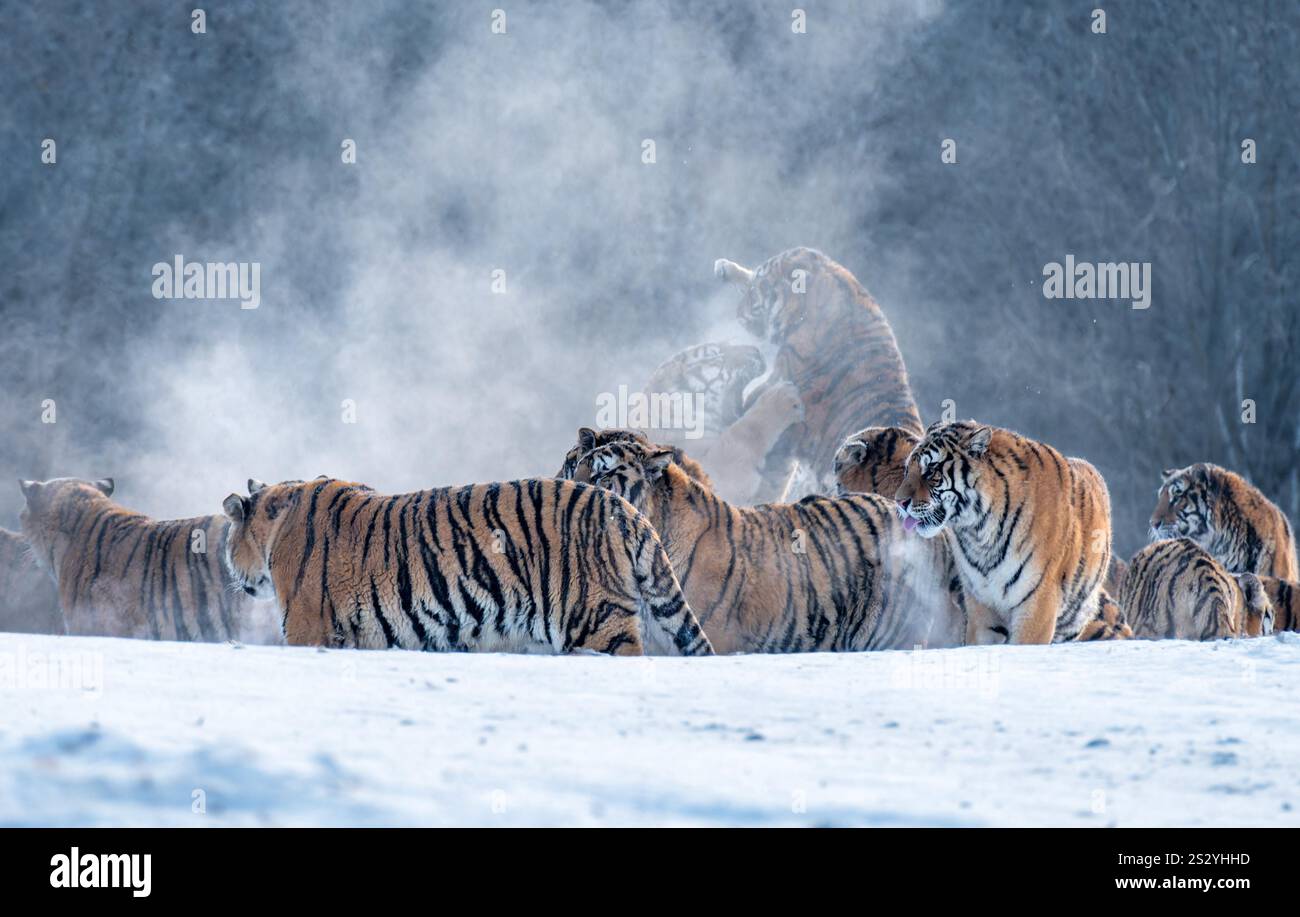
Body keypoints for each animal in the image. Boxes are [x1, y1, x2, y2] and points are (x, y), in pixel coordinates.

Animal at [894, 420, 1113, 644]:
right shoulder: (981, 603)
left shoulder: (1038, 602)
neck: (978, 532)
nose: (899, 502)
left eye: (930, 471)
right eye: (907, 469)